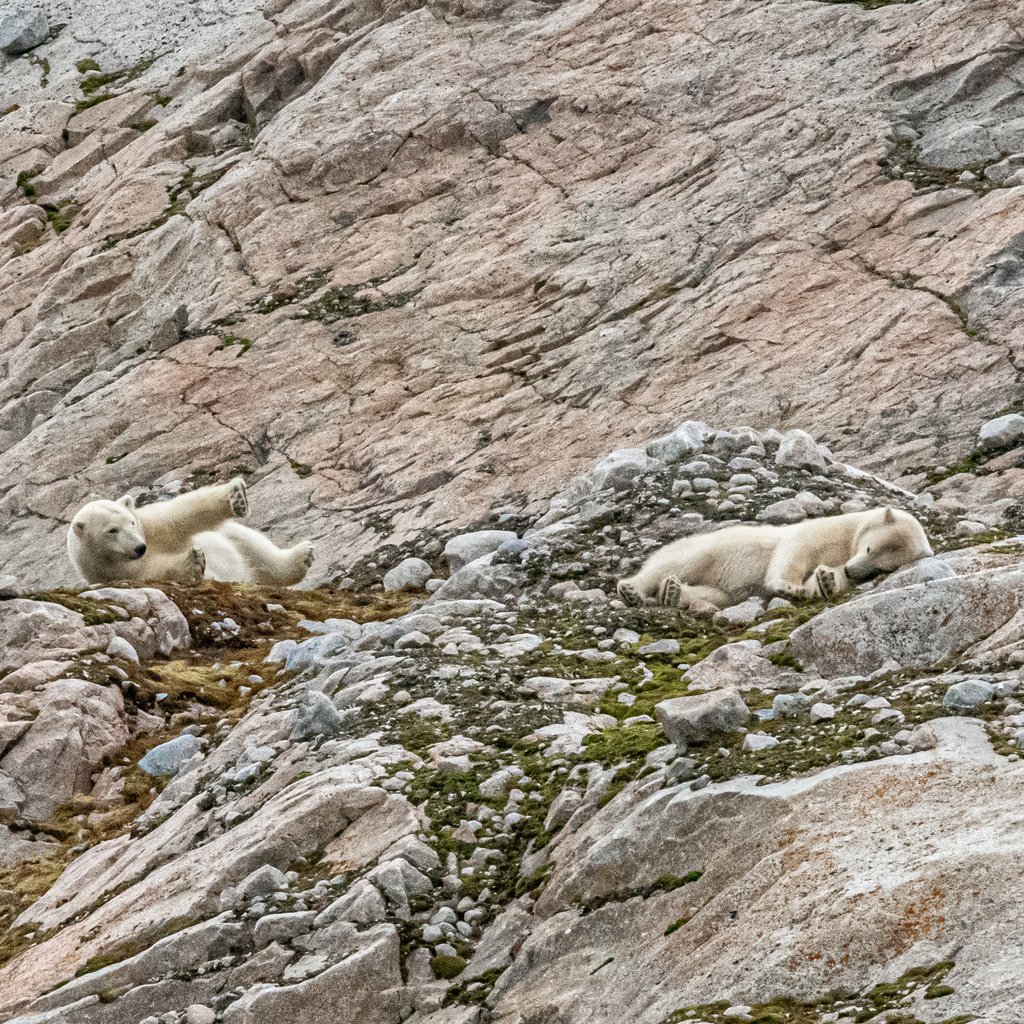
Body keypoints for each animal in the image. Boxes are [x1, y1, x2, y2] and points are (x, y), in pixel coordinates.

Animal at [67, 477, 314, 587]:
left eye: (131, 522)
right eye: (112, 530)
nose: (140, 547)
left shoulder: (150, 525)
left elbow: (177, 515)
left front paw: (236, 497)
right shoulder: (116, 573)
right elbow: (163, 571)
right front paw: (194, 561)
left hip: (229, 536)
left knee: (253, 546)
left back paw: (302, 556)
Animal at [617, 507, 932, 609]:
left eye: (879, 568)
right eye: (869, 549)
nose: (852, 570)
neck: (849, 539)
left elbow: (826, 579)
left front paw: (826, 580)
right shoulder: (829, 529)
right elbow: (796, 550)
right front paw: (790, 587)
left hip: (722, 588)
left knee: (715, 595)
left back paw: (671, 593)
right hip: (707, 548)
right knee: (680, 563)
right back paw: (632, 589)